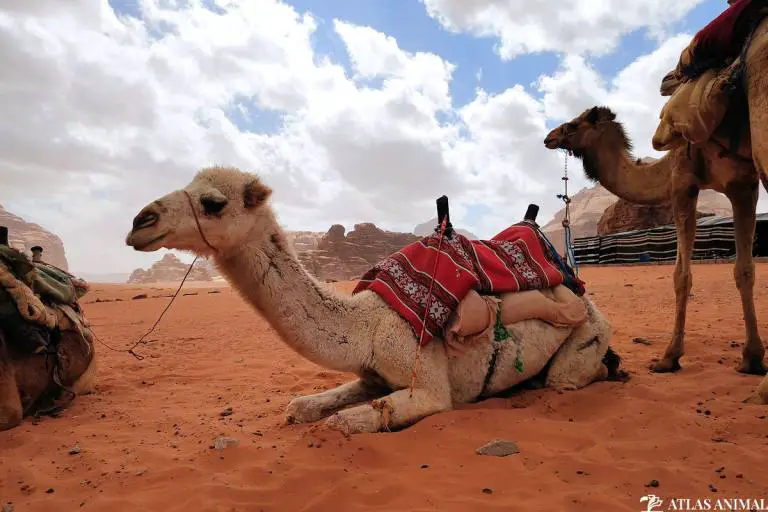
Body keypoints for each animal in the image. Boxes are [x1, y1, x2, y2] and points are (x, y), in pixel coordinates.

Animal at [125, 166, 624, 435]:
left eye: (213, 202)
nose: (139, 222)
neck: (366, 325)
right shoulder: (370, 374)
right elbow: (302, 407)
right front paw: (305, 406)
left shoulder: (429, 384)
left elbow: (342, 423)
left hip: (584, 339)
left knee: (573, 375)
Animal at [543, 106, 766, 381]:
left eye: (574, 124)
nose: (549, 137)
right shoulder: (743, 184)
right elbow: (744, 270)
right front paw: (752, 358)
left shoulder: (684, 184)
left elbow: (682, 276)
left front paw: (670, 357)